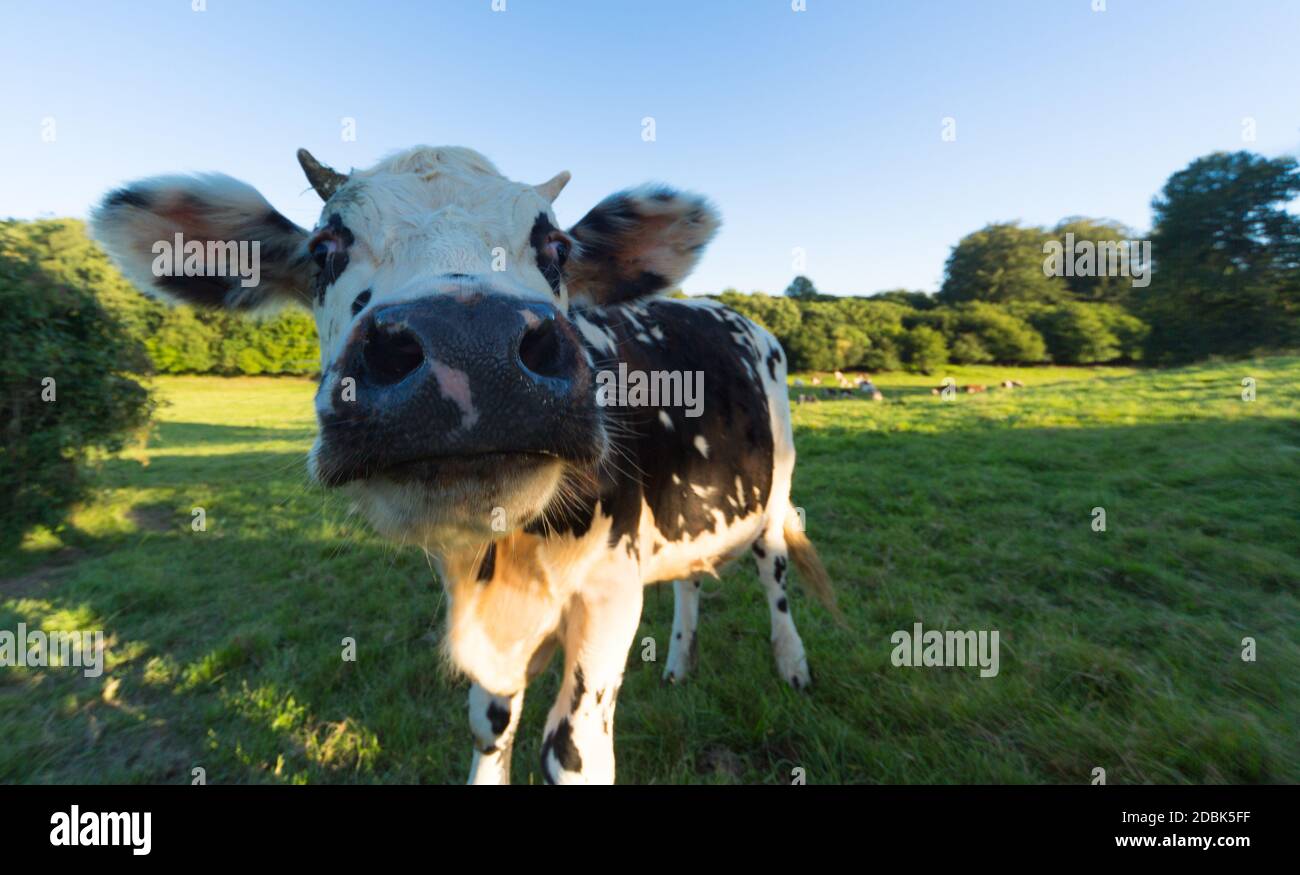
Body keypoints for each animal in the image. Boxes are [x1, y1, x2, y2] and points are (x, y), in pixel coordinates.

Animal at [90, 145, 835, 785]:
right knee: (690, 580)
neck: (503, 558)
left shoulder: (609, 591)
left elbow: (573, 750)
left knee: (773, 576)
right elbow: (489, 721)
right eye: (324, 248)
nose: (472, 347)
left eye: (557, 247)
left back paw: (795, 666)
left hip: (776, 494)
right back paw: (680, 661)